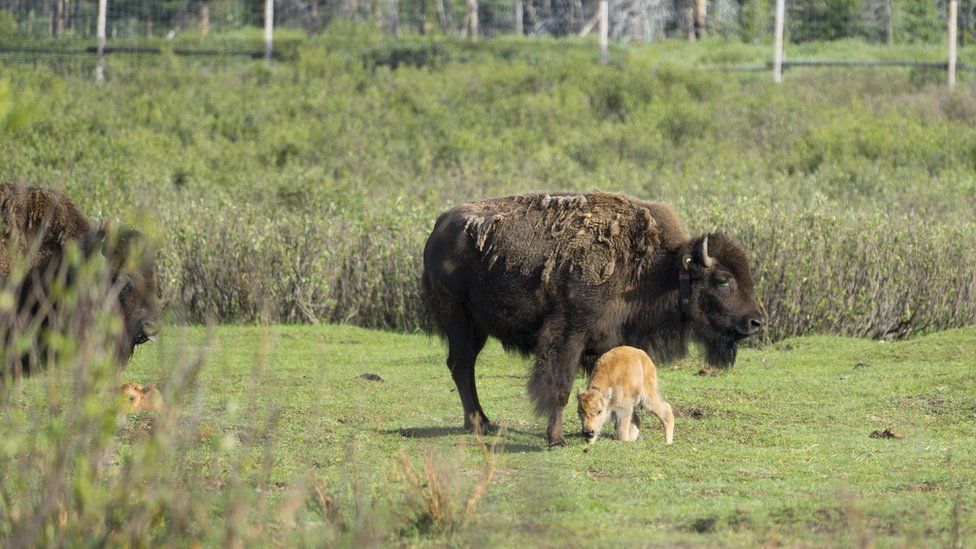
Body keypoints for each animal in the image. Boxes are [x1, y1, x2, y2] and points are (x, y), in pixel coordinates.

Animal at [421, 191, 764, 446]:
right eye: (722, 279)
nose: (756, 322)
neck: (654, 269)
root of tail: (439, 227)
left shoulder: (612, 341)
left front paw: (629, 428)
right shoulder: (568, 334)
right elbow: (560, 386)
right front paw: (556, 438)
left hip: (477, 327)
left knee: (463, 366)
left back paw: (482, 422)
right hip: (459, 320)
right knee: (462, 366)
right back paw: (478, 423)